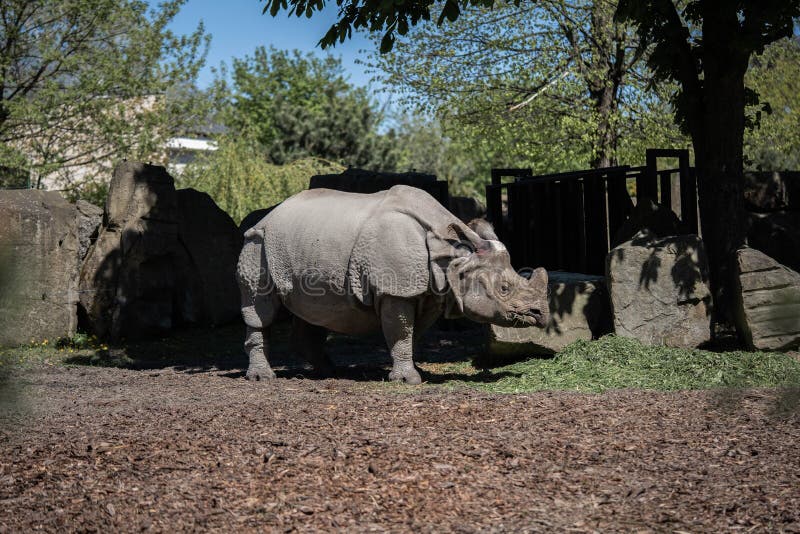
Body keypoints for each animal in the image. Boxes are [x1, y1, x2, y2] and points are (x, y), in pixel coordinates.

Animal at [237, 185, 548, 384]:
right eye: (504, 289)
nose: (541, 315)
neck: (451, 256)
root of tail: (270, 213)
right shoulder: (397, 290)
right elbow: (401, 331)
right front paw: (408, 380)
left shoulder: (430, 292)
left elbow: (412, 332)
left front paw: (415, 369)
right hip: (257, 242)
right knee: (260, 307)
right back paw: (263, 378)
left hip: (304, 244)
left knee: (314, 308)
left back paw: (329, 371)